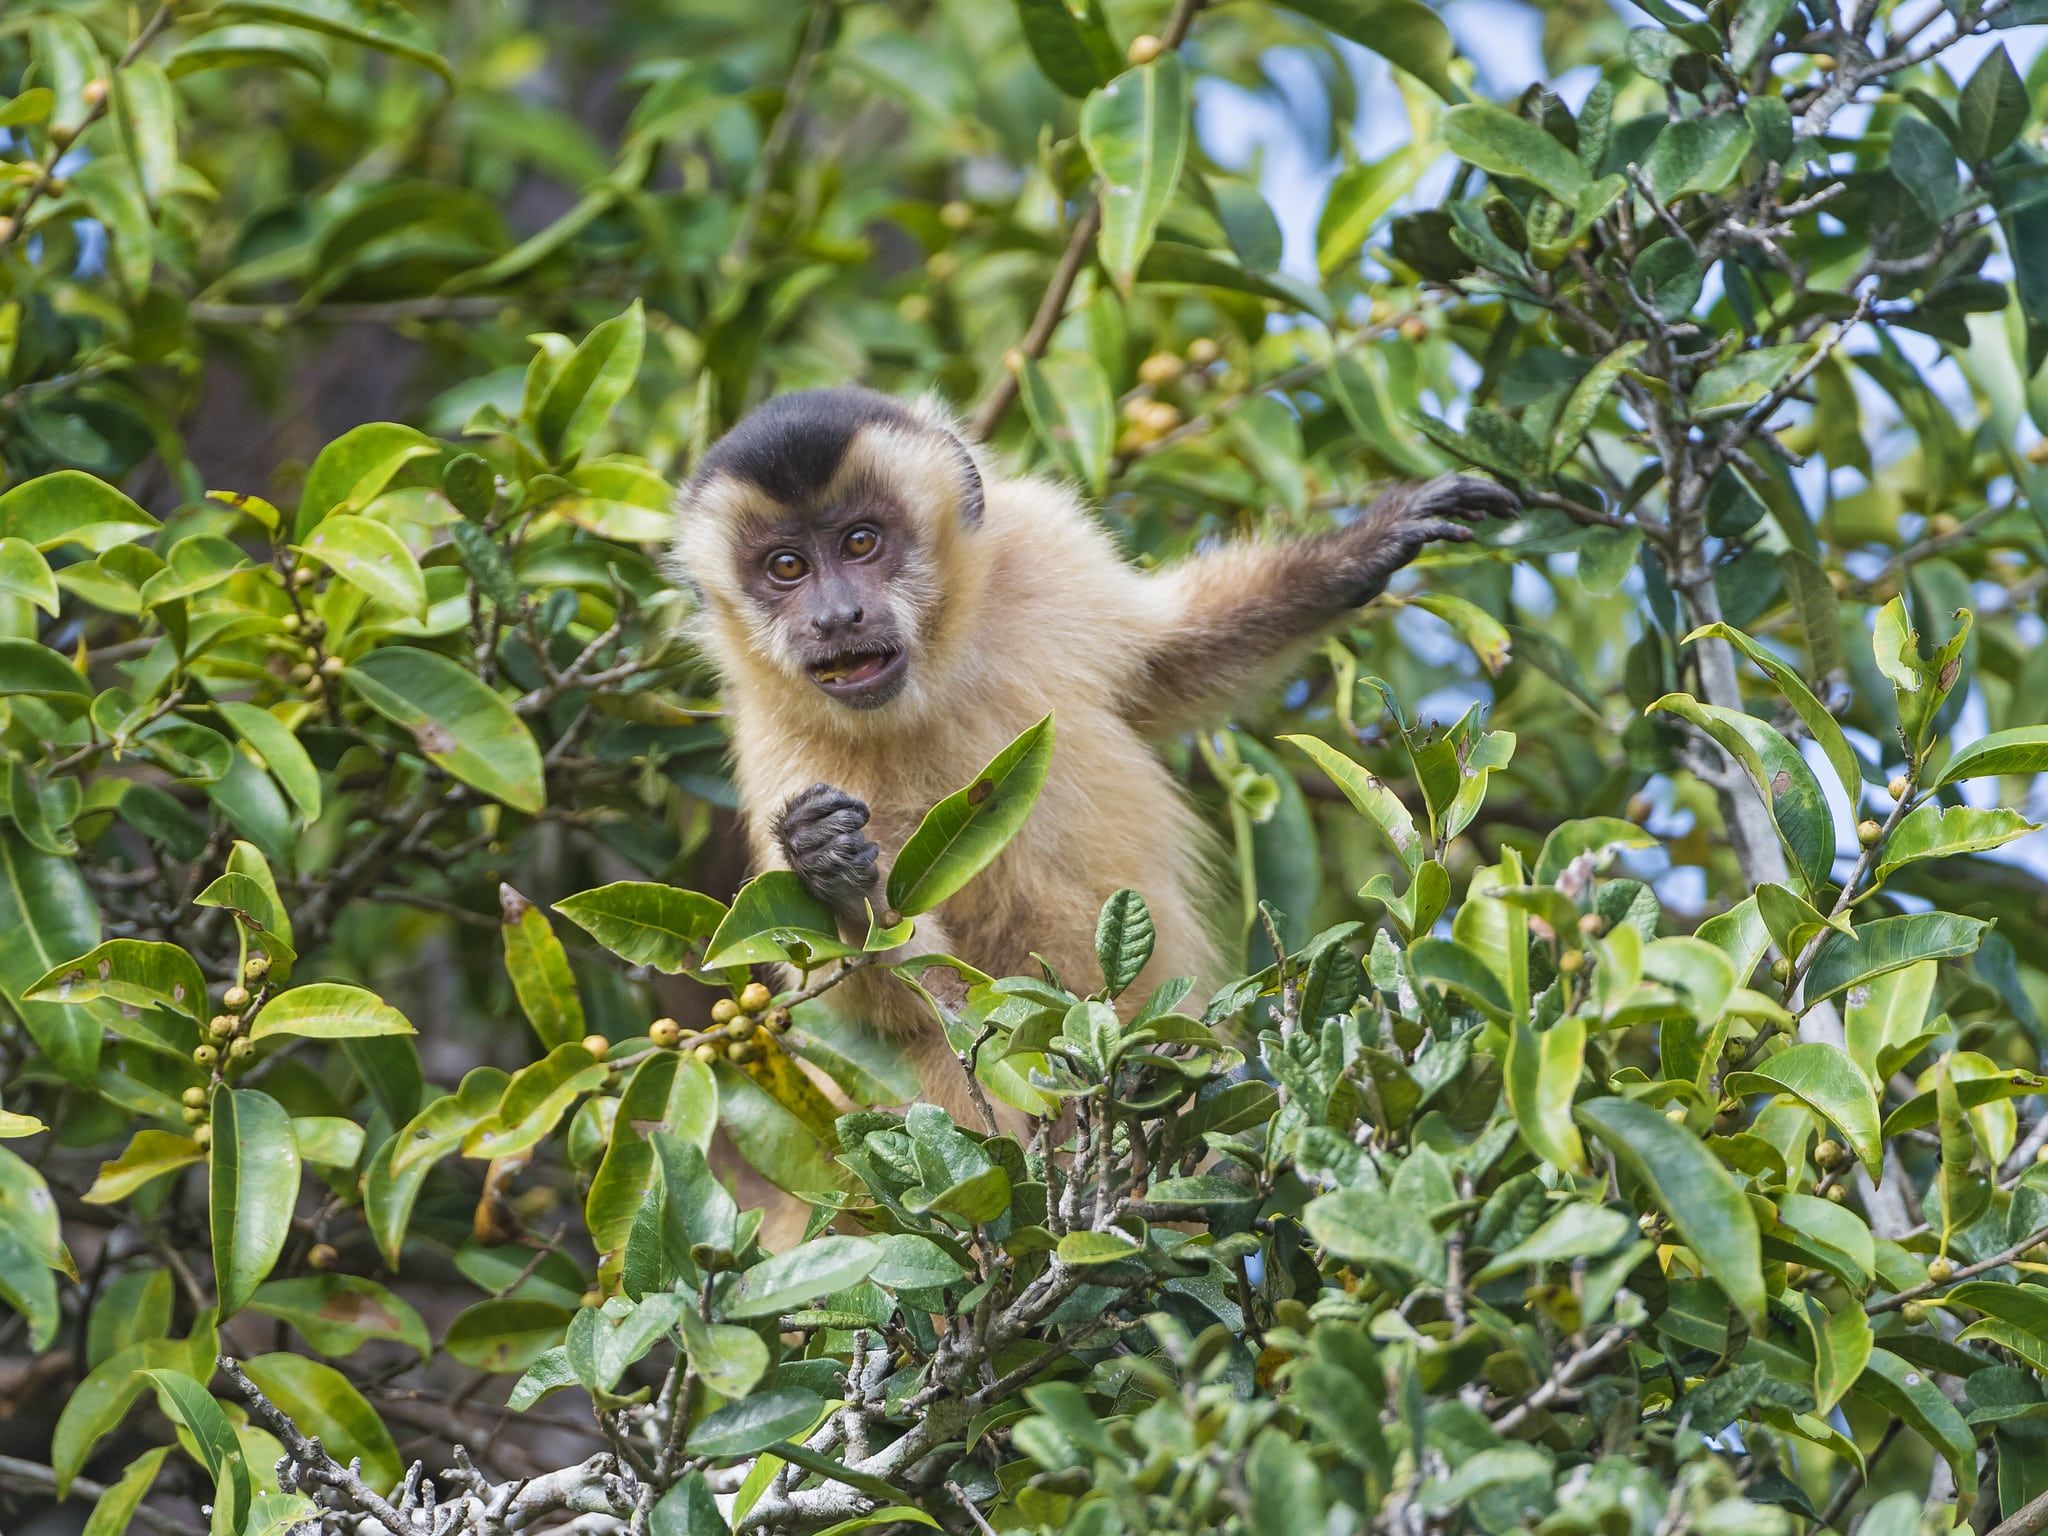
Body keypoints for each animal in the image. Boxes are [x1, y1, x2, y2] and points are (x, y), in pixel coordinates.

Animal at [670, 386, 1515, 1126]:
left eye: (859, 543)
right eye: (786, 568)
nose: (834, 616)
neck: (932, 682)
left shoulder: (1045, 550)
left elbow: (1168, 664)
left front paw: (1364, 548)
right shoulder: (773, 735)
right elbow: (872, 1001)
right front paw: (832, 871)